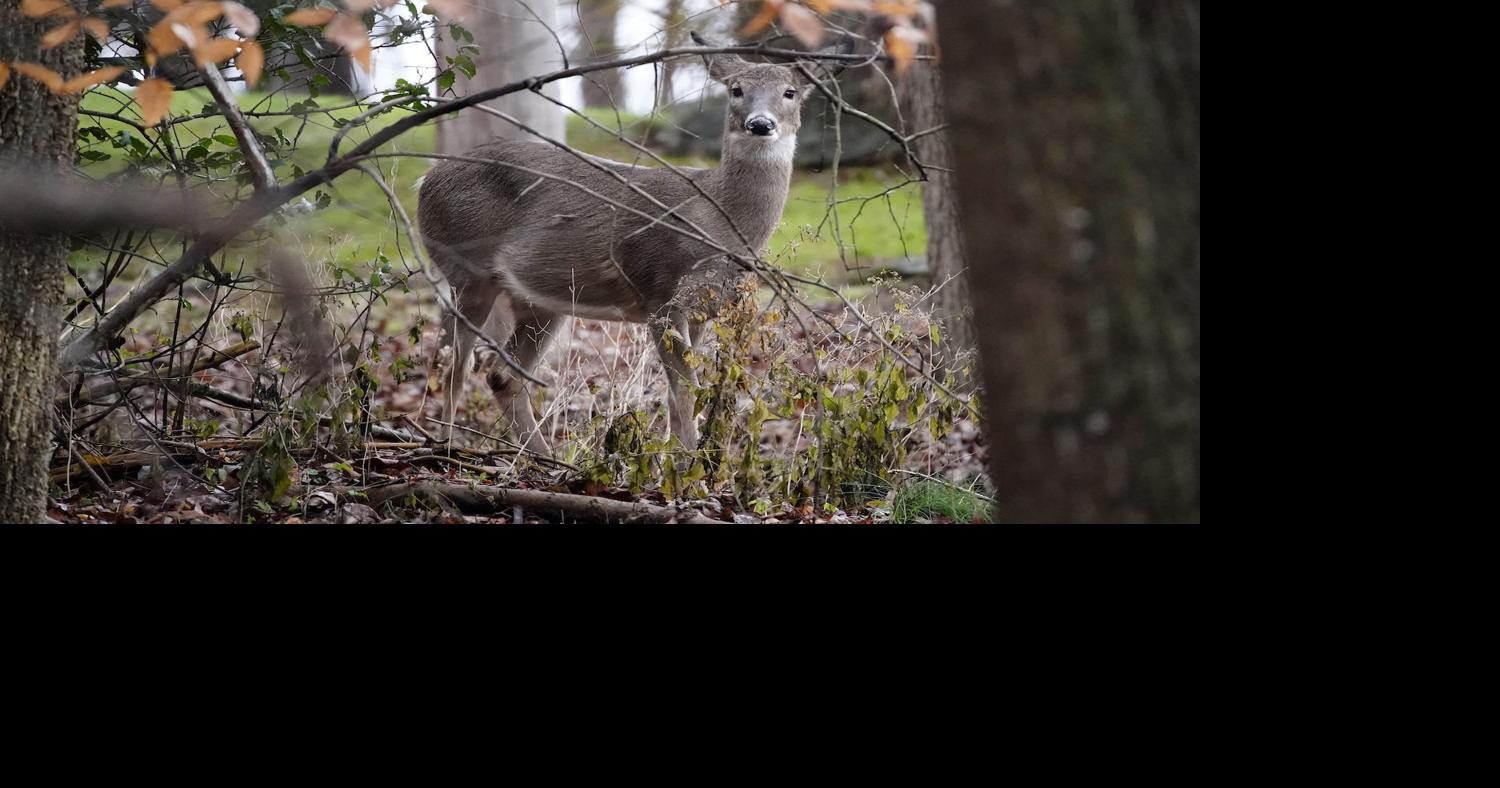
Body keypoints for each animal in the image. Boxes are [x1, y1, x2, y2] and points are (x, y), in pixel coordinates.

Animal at [418, 34, 846, 454]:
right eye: (736, 89)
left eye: (790, 92)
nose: (760, 123)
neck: (716, 222)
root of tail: (426, 178)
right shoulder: (661, 294)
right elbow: (685, 393)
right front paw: (691, 468)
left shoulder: (703, 310)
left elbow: (677, 397)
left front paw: (677, 465)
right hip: (464, 267)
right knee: (452, 367)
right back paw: (444, 445)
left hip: (541, 301)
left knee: (502, 375)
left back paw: (540, 459)